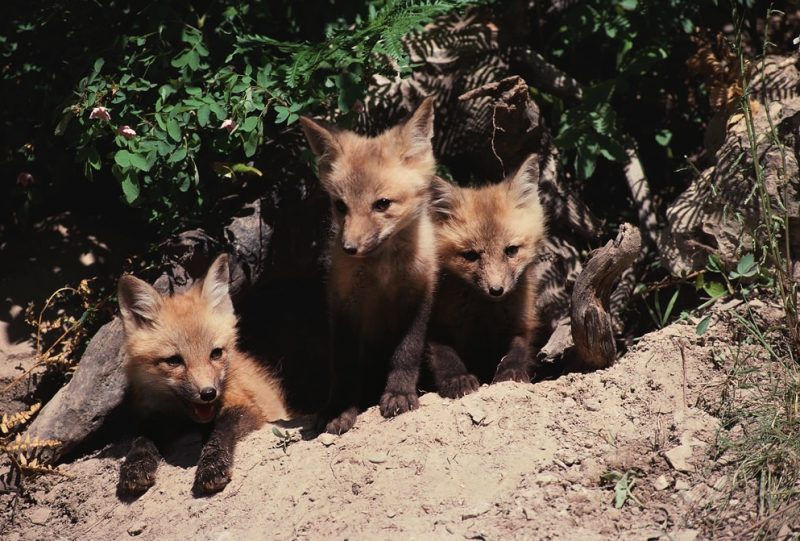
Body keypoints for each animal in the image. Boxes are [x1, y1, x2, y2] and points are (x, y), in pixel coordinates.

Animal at [116, 254, 290, 496]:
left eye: (216, 353)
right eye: (174, 360)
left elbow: (220, 430)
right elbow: (142, 439)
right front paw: (136, 466)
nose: (208, 393)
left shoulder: (249, 406)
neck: (186, 418)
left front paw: (212, 464)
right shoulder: (155, 414)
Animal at [299, 97, 438, 435]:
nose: (349, 248)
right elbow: (344, 366)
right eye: (341, 206)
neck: (383, 273)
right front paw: (339, 410)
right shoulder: (343, 303)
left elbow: (407, 352)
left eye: (382, 204)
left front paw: (399, 394)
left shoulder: (419, 293)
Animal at [427, 154, 547, 398]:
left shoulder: (522, 322)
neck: (484, 312)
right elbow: (444, 354)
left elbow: (518, 349)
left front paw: (511, 373)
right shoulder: (434, 325)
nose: (496, 290)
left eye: (511, 250)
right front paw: (457, 379)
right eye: (471, 255)